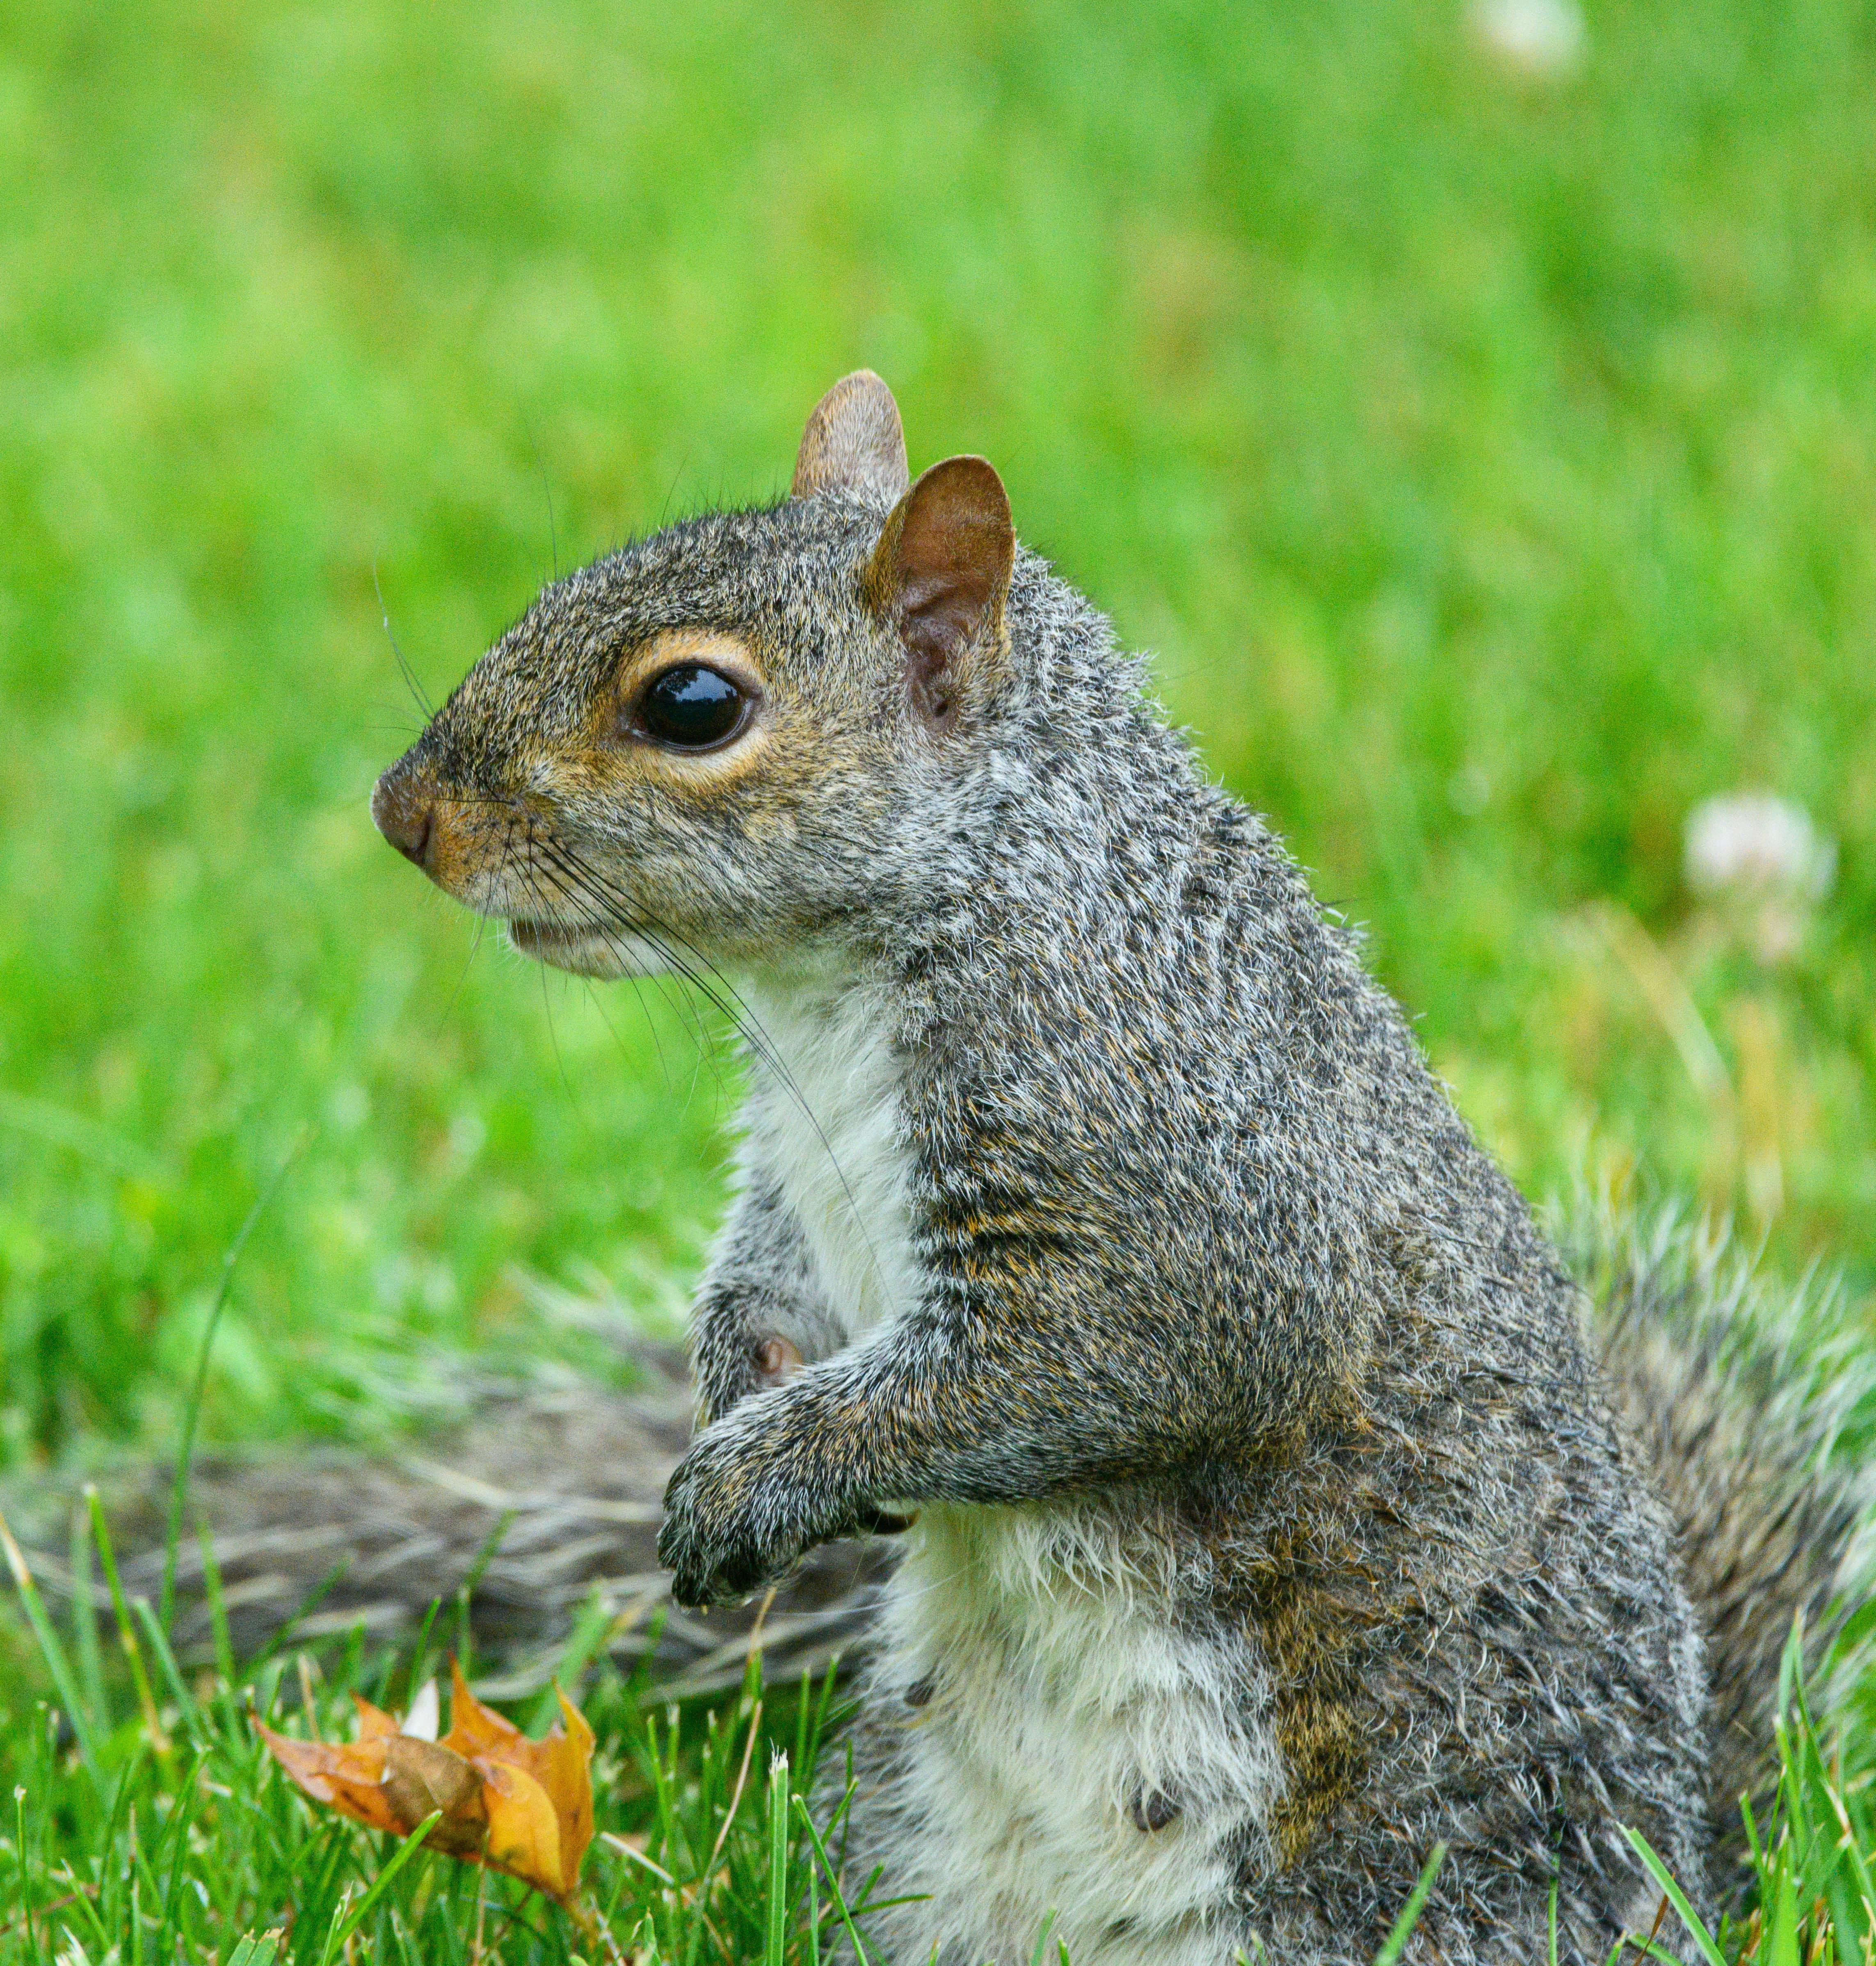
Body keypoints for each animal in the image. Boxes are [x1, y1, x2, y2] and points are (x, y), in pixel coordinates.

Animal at [370, 372, 1863, 1965]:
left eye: (692, 704)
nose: (405, 815)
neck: (844, 977)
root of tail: (1678, 1876)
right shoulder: (793, 1181)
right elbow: (761, 1290)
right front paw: (736, 1399)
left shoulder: (1153, 1145)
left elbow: (1105, 1354)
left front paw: (767, 1473)